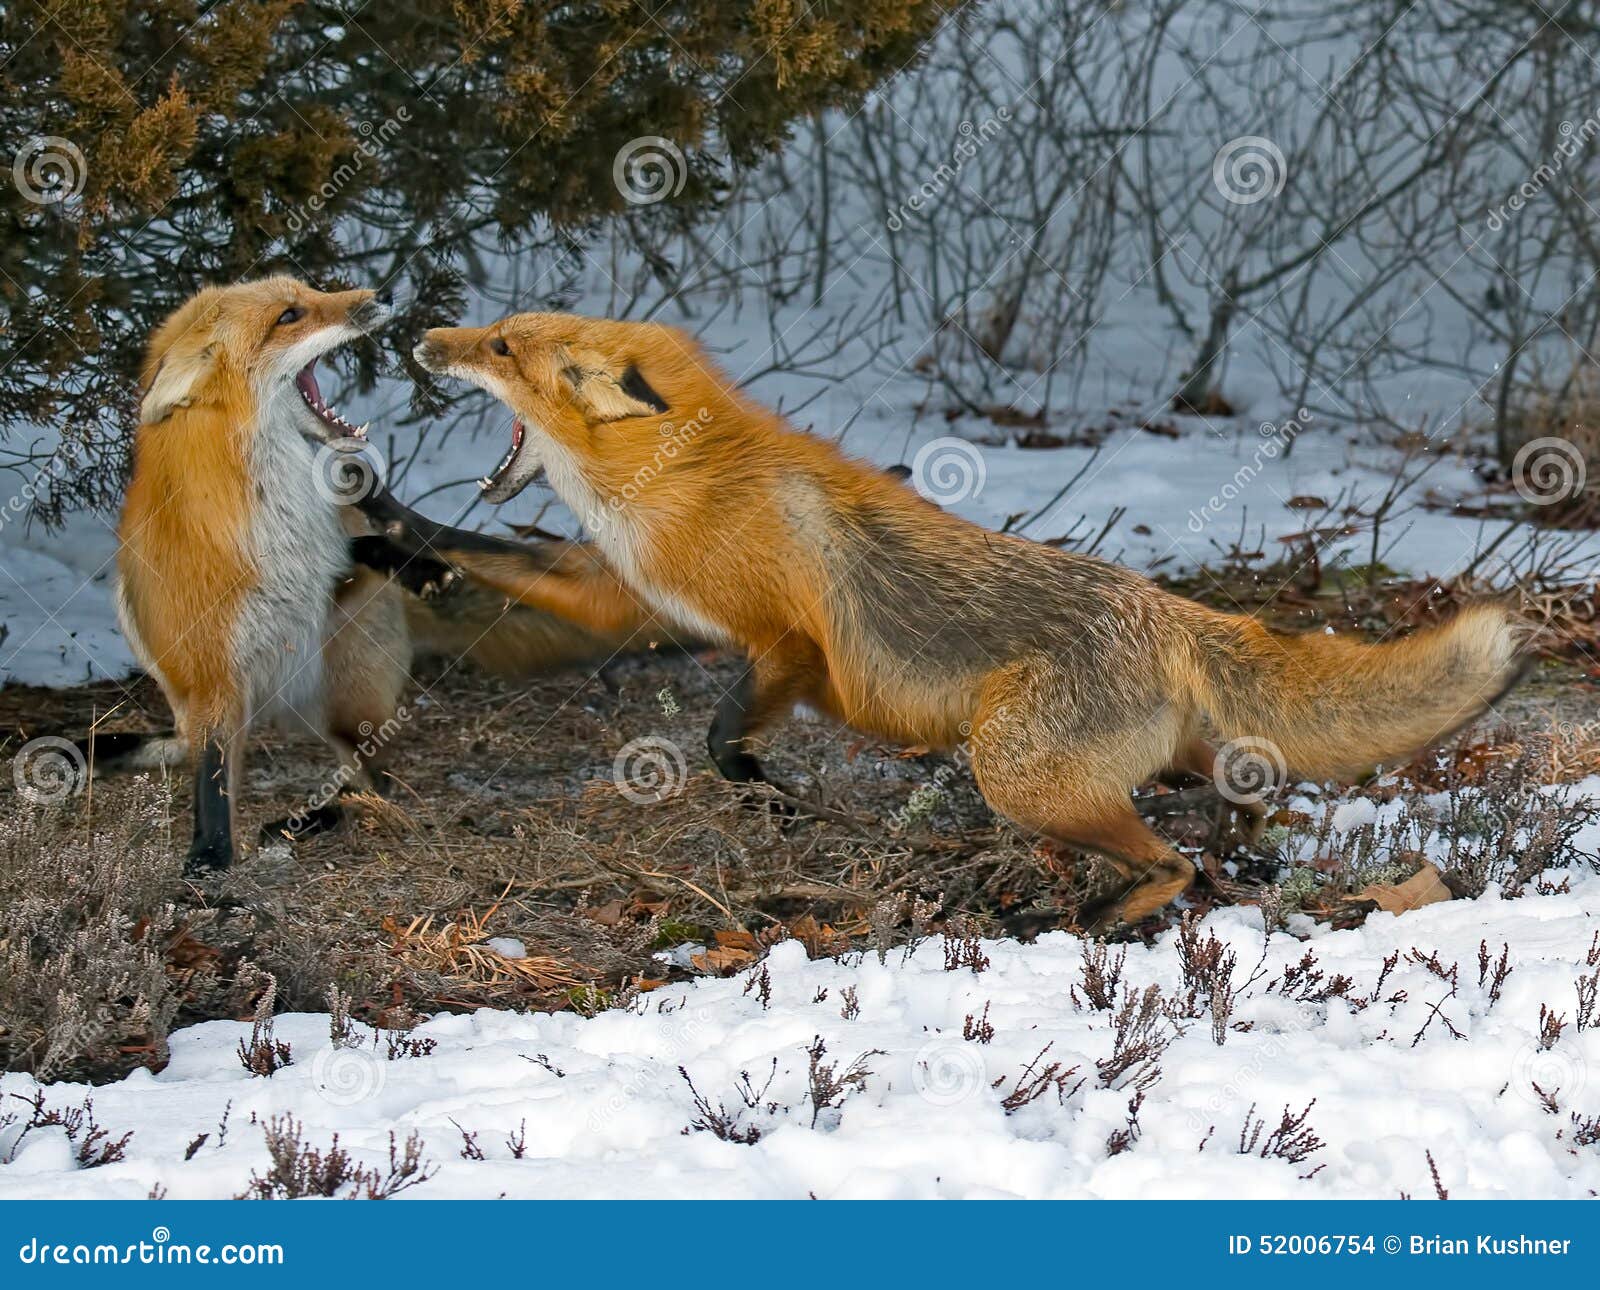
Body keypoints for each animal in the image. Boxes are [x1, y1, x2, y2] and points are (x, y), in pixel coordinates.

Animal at [106, 278, 659, 875]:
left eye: (306, 288)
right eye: (289, 316)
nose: (386, 293)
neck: (274, 513)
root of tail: (275, 707)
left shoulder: (326, 567)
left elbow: (359, 549)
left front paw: (420, 568)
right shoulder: (212, 671)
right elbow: (211, 782)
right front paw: (208, 858)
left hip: (347, 697)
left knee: (372, 781)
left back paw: (317, 818)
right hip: (220, 704)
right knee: (196, 749)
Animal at [403, 310, 1528, 928]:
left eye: (498, 345)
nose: (421, 337)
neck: (676, 478)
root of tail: (1163, 605)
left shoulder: (790, 646)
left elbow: (723, 739)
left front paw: (775, 801)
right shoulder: (618, 593)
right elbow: (480, 550)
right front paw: (389, 527)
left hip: (1016, 773)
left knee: (1171, 863)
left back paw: (1099, 911)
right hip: (1134, 761)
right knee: (1240, 782)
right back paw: (1246, 838)